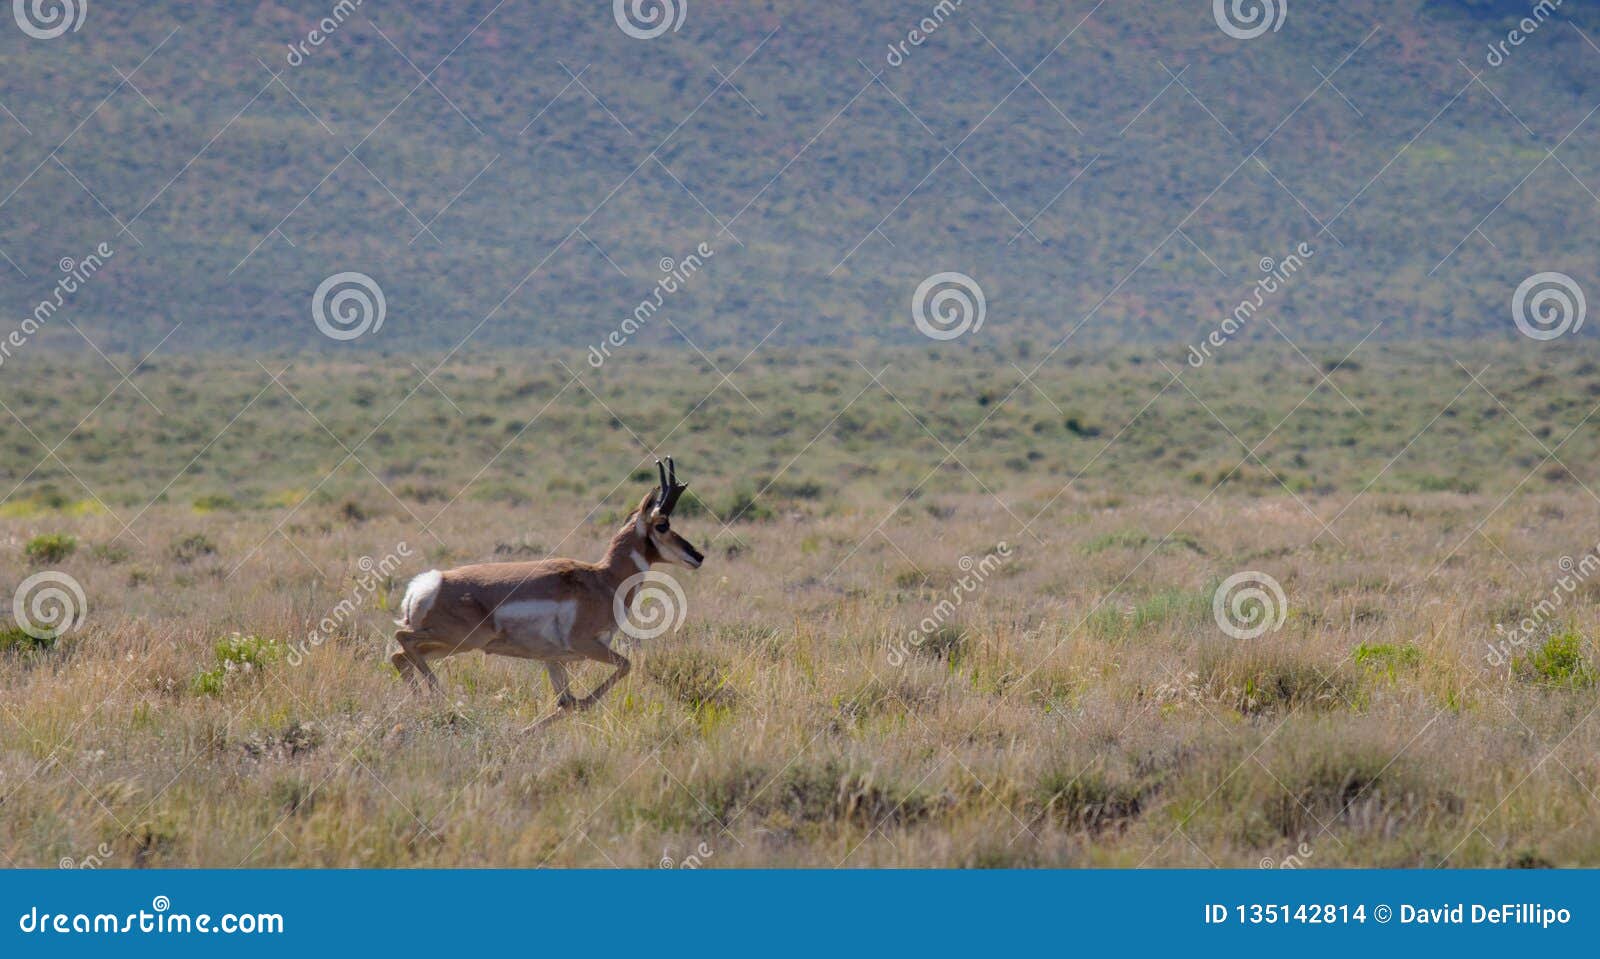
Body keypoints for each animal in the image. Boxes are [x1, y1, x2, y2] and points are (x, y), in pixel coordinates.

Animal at [390, 458, 703, 723]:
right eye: (662, 524)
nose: (698, 556)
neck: (603, 578)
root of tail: (429, 583)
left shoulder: (554, 659)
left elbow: (565, 702)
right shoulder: (586, 646)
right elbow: (624, 666)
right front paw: (581, 705)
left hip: (449, 645)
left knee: (399, 656)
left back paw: (422, 701)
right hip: (462, 639)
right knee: (402, 639)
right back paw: (436, 697)